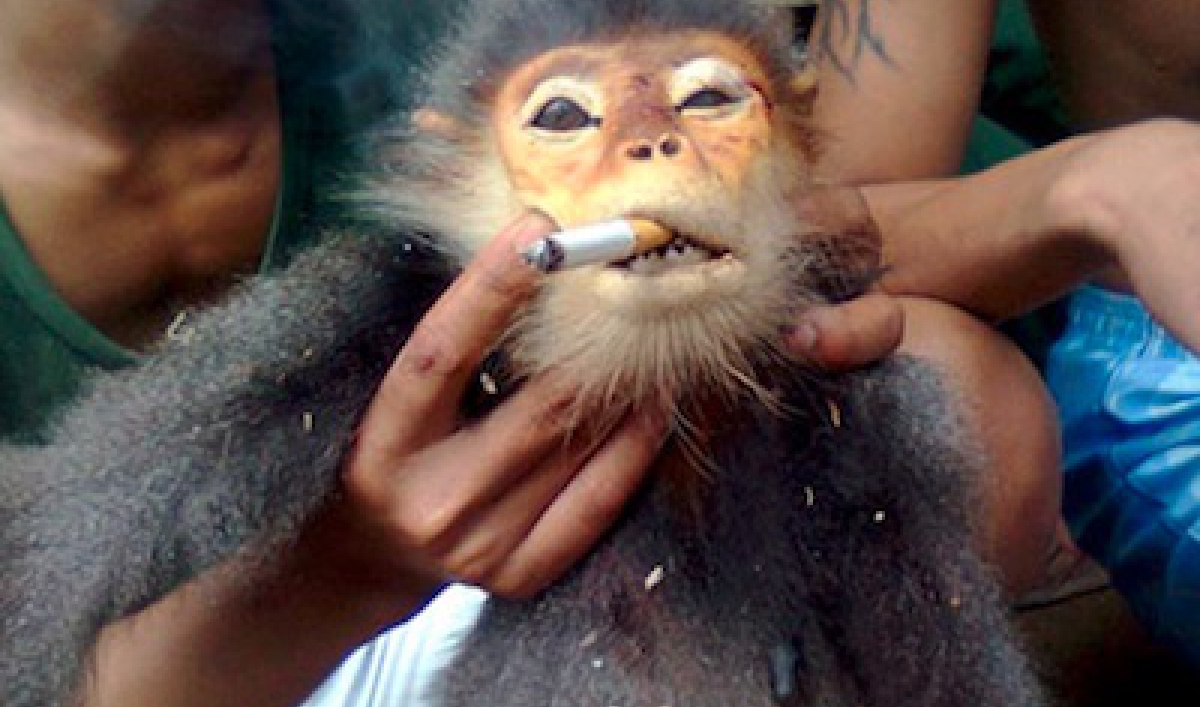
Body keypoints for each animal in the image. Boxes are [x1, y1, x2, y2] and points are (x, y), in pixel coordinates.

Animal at [0, 0, 1044, 706]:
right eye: (565, 117)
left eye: (707, 99)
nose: (657, 145)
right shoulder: (373, 299)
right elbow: (66, 537)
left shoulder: (869, 415)